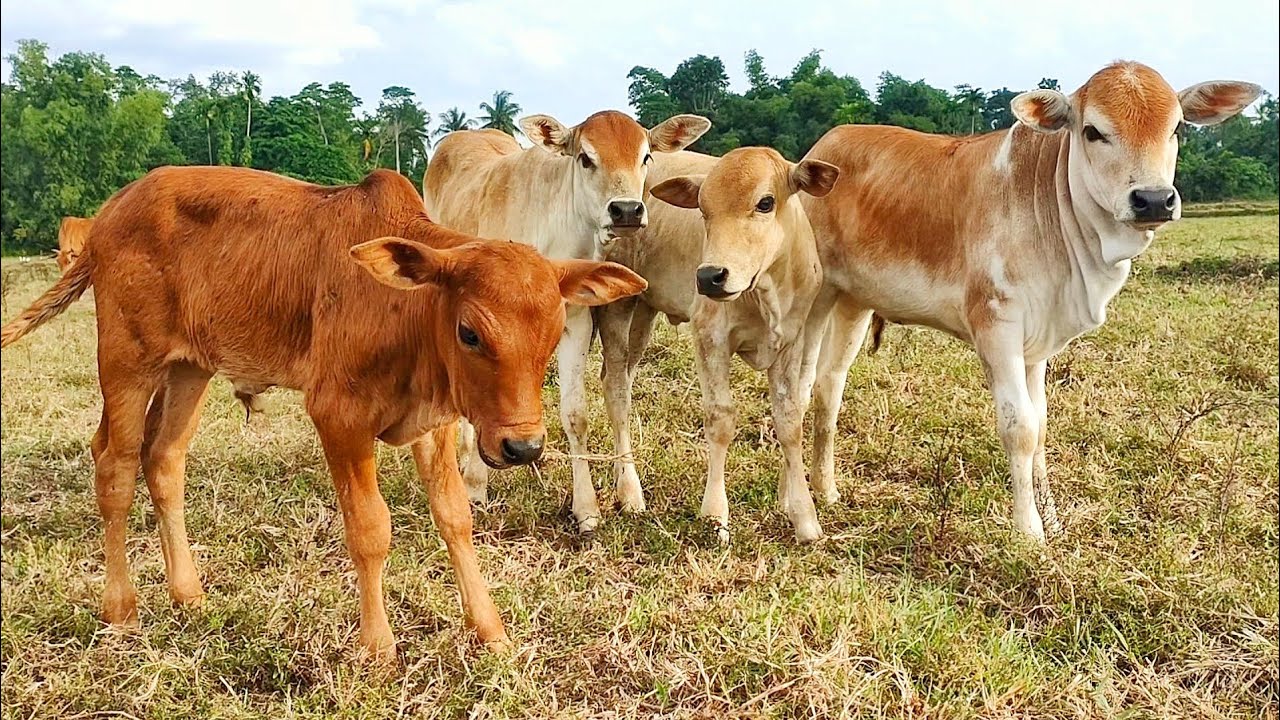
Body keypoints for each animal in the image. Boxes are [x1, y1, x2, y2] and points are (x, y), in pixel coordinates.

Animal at [0, 166, 647, 660]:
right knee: (114, 465)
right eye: (469, 332)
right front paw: (378, 648)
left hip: (189, 368)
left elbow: (455, 518)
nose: (523, 447)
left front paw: (489, 631)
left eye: (553, 336)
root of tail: (110, 214)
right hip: (127, 361)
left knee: (163, 459)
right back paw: (121, 609)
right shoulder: (339, 418)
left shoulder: (434, 425)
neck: (404, 311)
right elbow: (370, 530)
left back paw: (188, 593)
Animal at [423, 111, 710, 534]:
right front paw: (475, 486)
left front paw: (586, 507)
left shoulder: (576, 321)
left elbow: (576, 415)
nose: (627, 210)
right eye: (586, 158)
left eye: (645, 157)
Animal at [601, 147, 841, 542]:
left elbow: (790, 423)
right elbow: (721, 419)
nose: (710, 276)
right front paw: (715, 514)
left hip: (645, 312)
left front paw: (805, 518)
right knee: (617, 392)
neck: (764, 291)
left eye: (765, 202)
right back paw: (630, 491)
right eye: (702, 208)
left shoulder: (793, 343)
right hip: (617, 307)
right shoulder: (710, 336)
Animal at [798, 61, 1261, 542]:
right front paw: (1030, 530)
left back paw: (827, 490)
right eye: (1093, 132)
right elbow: (1019, 427)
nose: (1153, 200)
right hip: (814, 300)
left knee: (829, 386)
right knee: (799, 387)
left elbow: (1040, 427)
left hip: (854, 302)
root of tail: (820, 151)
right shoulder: (997, 326)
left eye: (1176, 129)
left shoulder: (1038, 344)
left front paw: (1053, 520)